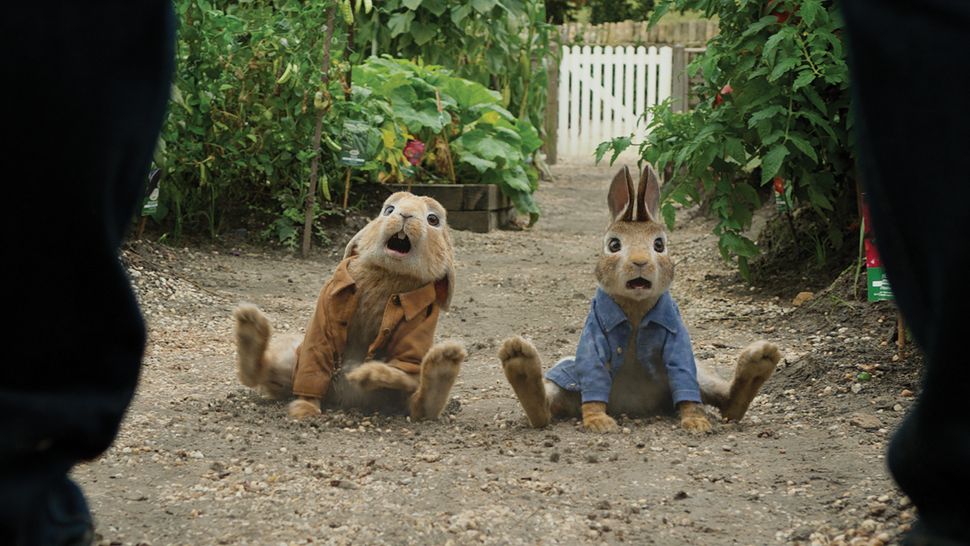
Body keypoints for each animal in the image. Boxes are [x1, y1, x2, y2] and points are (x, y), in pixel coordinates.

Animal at [233, 192, 466, 420]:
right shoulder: (323, 320)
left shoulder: (421, 321)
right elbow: (315, 361)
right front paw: (305, 410)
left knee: (420, 406)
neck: (391, 273)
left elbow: (404, 360)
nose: (405, 214)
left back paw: (442, 362)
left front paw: (368, 374)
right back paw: (250, 324)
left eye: (433, 219)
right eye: (388, 210)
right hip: (292, 361)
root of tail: (341, 398)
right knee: (262, 373)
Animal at [499, 164, 782, 433]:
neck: (635, 309)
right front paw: (598, 422)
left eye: (659, 245)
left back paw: (761, 360)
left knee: (727, 403)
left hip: (701, 375)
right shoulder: (594, 336)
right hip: (565, 377)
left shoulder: (678, 341)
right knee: (546, 409)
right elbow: (593, 372)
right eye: (614, 245)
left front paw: (696, 423)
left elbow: (684, 376)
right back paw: (518, 359)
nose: (640, 262)